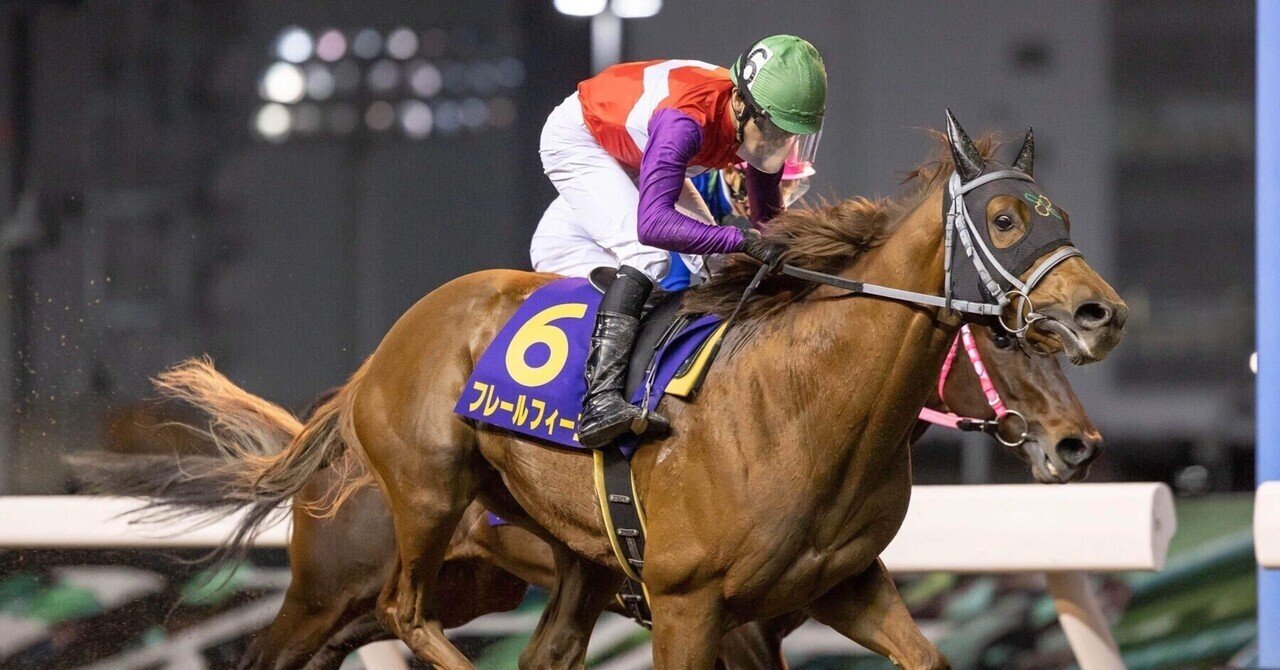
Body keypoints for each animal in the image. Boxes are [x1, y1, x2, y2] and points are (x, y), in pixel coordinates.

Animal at [80, 114, 1126, 669]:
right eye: (1005, 219)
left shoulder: (843, 586)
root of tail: (373, 364)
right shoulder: (696, 605)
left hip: (504, 576)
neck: (808, 406)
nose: (1100, 313)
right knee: (394, 615)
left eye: (1061, 214)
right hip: (396, 529)